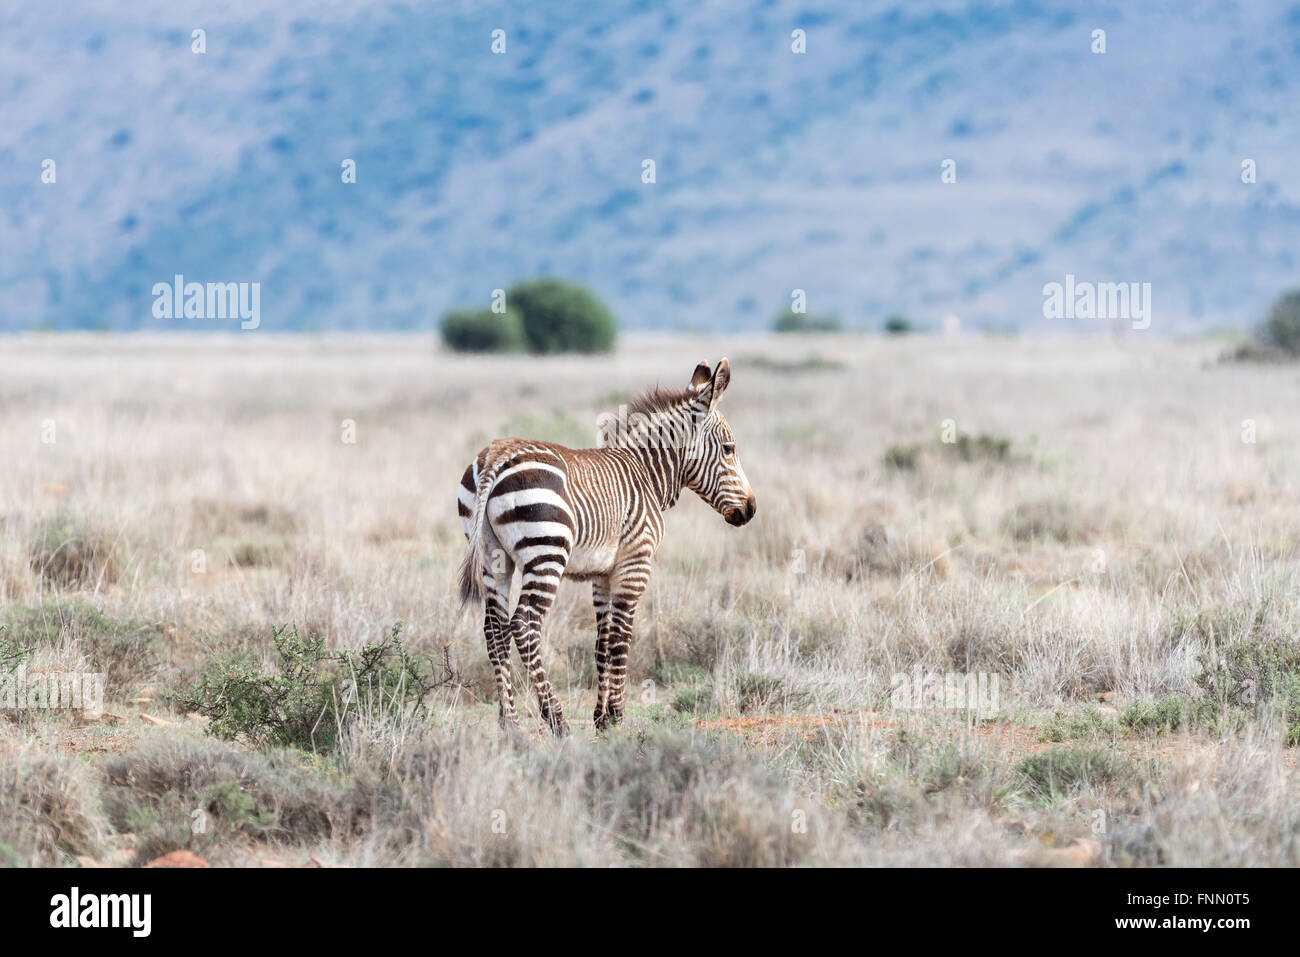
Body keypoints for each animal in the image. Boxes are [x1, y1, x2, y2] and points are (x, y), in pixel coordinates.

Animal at [456, 358, 756, 736]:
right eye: (730, 449)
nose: (751, 510)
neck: (647, 474)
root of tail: (495, 455)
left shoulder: (602, 574)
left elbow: (602, 641)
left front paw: (601, 718)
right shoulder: (635, 564)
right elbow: (620, 640)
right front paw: (616, 717)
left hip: (493, 558)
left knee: (494, 630)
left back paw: (509, 724)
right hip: (546, 553)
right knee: (524, 625)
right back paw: (557, 720)